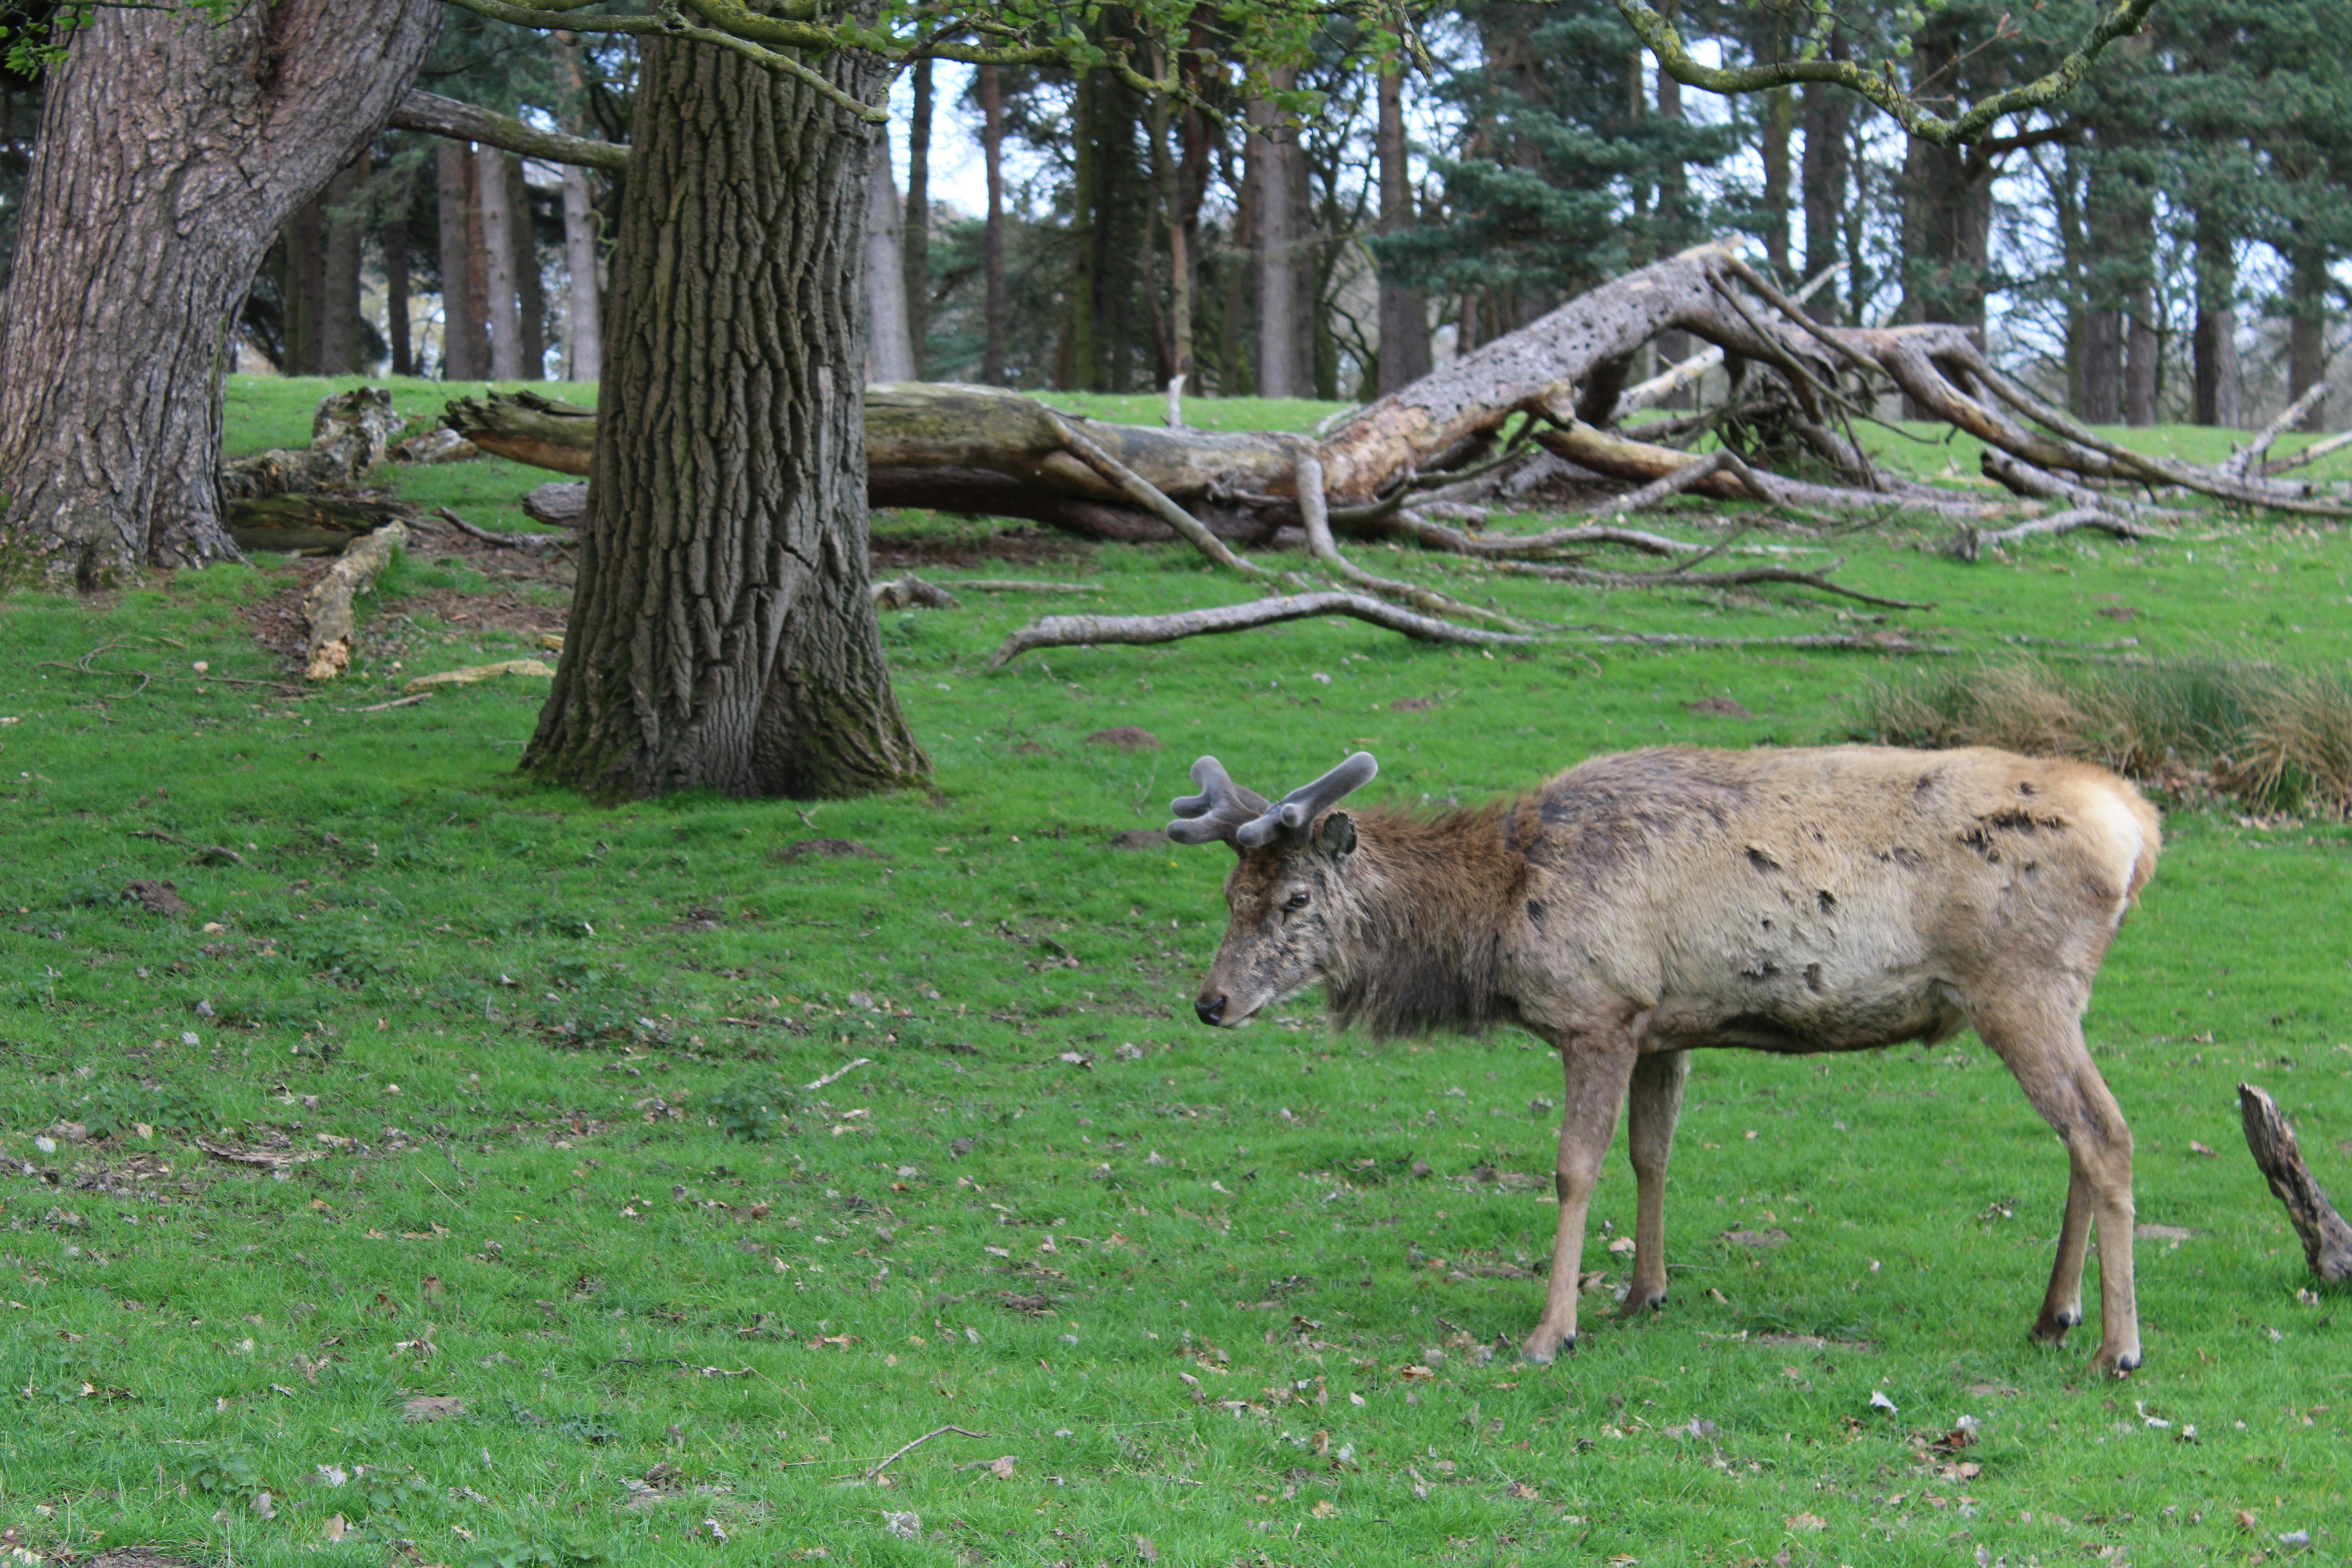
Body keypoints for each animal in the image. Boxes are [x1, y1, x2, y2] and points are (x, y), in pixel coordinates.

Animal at [1168, 744, 2160, 1376]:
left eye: (1296, 899)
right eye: (1229, 894)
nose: (1210, 1001)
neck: (1501, 913)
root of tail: (2142, 830)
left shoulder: (1600, 1009)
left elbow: (1576, 1167)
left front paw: (1551, 1331)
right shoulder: (1662, 1023)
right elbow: (1653, 1153)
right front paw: (1641, 1293)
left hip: (2019, 983)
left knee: (2106, 1132)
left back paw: (2116, 1346)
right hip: (2054, 995)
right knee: (2083, 1135)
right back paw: (2054, 1313)